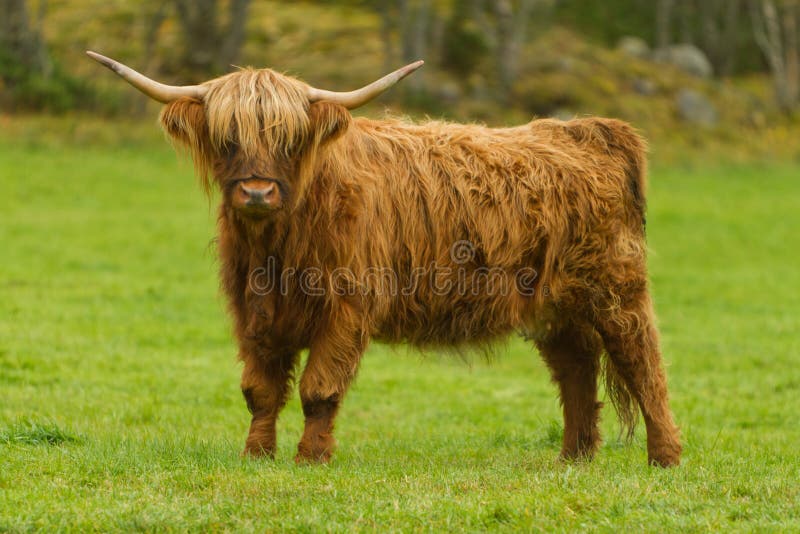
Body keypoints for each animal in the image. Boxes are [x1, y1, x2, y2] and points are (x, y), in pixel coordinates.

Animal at [87, 51, 681, 467]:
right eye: (227, 137)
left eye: (289, 139)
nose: (257, 191)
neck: (277, 248)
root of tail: (587, 130)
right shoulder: (254, 312)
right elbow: (260, 390)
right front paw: (256, 454)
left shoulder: (347, 308)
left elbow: (319, 389)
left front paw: (311, 458)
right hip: (554, 307)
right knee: (576, 370)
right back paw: (574, 458)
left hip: (616, 288)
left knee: (643, 363)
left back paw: (664, 458)